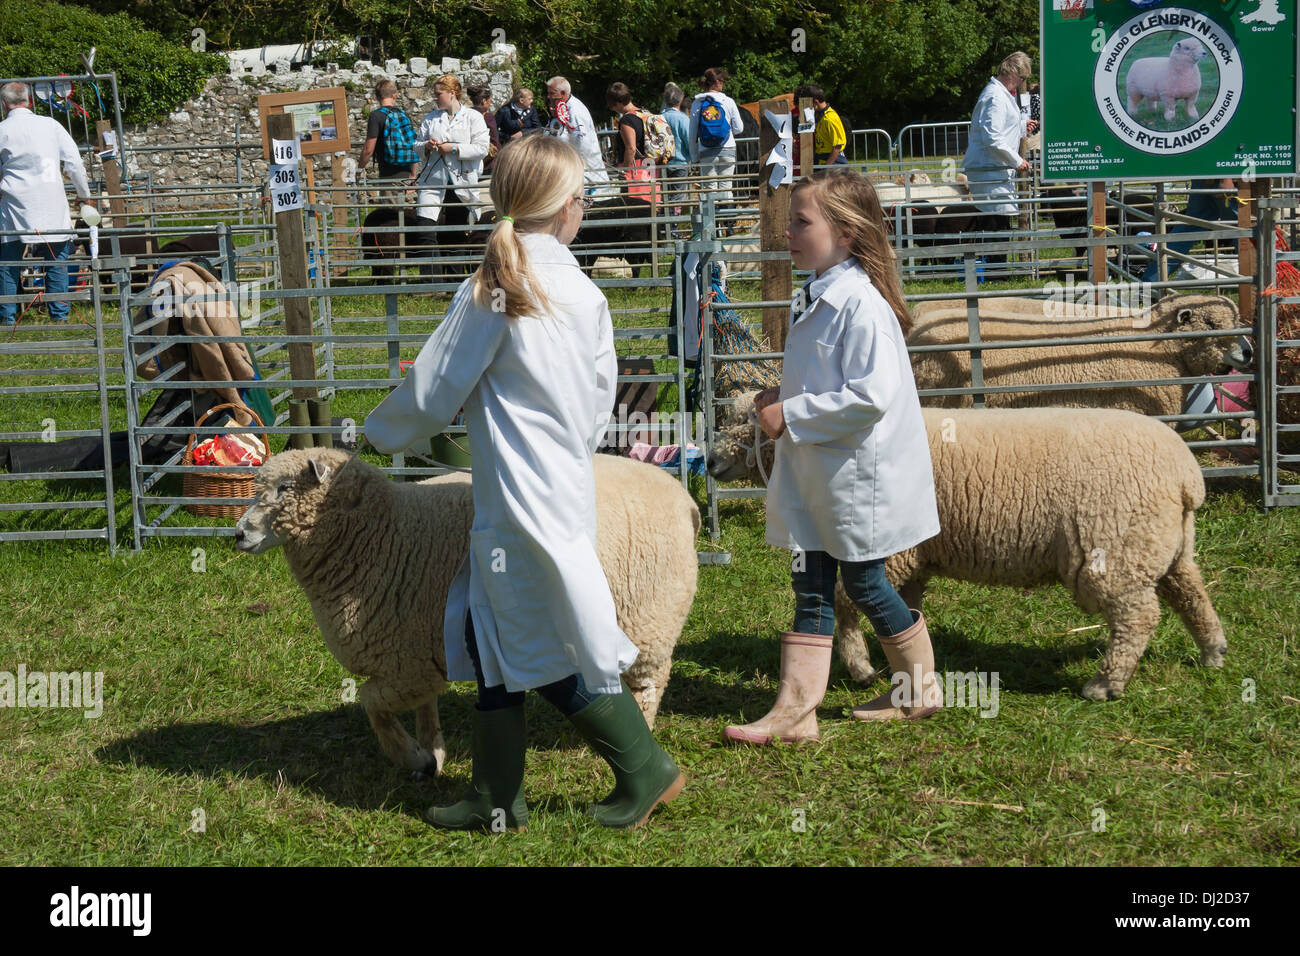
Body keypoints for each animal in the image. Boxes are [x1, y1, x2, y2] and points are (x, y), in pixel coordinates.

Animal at [233, 449, 699, 776]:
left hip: (649, 618)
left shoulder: (405, 663)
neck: (382, 535)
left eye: (285, 488)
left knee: (649, 684)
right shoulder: (417, 653)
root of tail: (681, 496)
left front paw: (412, 758)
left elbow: (370, 703)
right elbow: (424, 707)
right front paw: (432, 753)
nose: (237, 534)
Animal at [706, 397, 1227, 699]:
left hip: (1114, 549)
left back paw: (1105, 683)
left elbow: (849, 603)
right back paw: (1213, 651)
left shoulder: (890, 553)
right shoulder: (913, 557)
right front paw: (906, 662)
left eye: (745, 423)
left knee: (1138, 616)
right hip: (1164, 545)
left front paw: (861, 668)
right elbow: (904, 608)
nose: (709, 462)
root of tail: (1186, 475)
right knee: (1190, 591)